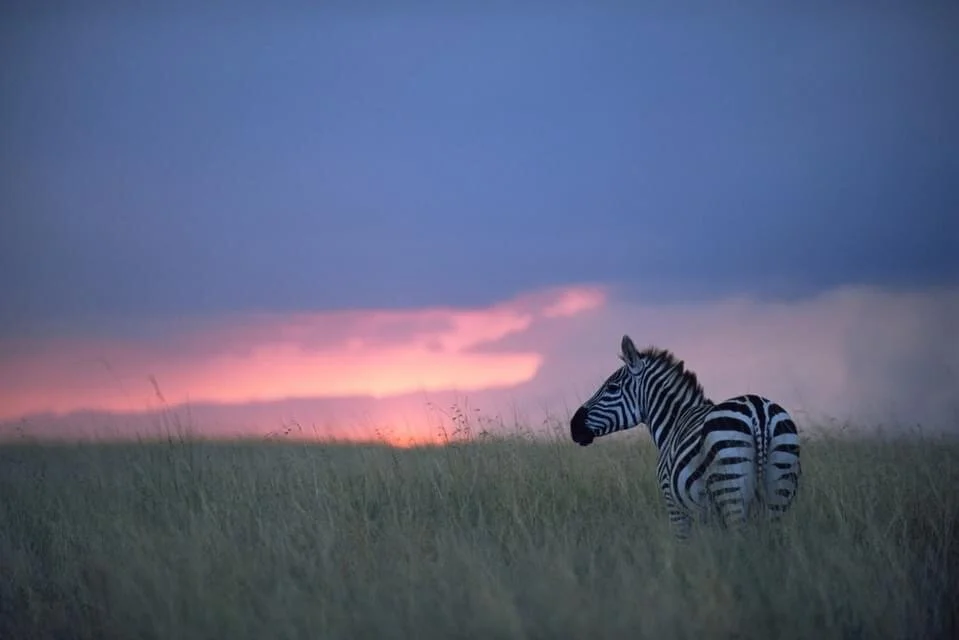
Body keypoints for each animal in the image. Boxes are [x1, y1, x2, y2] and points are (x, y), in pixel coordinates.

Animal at [570, 334, 801, 539]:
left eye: (612, 388)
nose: (573, 426)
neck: (675, 421)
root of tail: (758, 412)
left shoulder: (674, 505)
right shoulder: (708, 515)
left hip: (730, 487)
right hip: (780, 488)